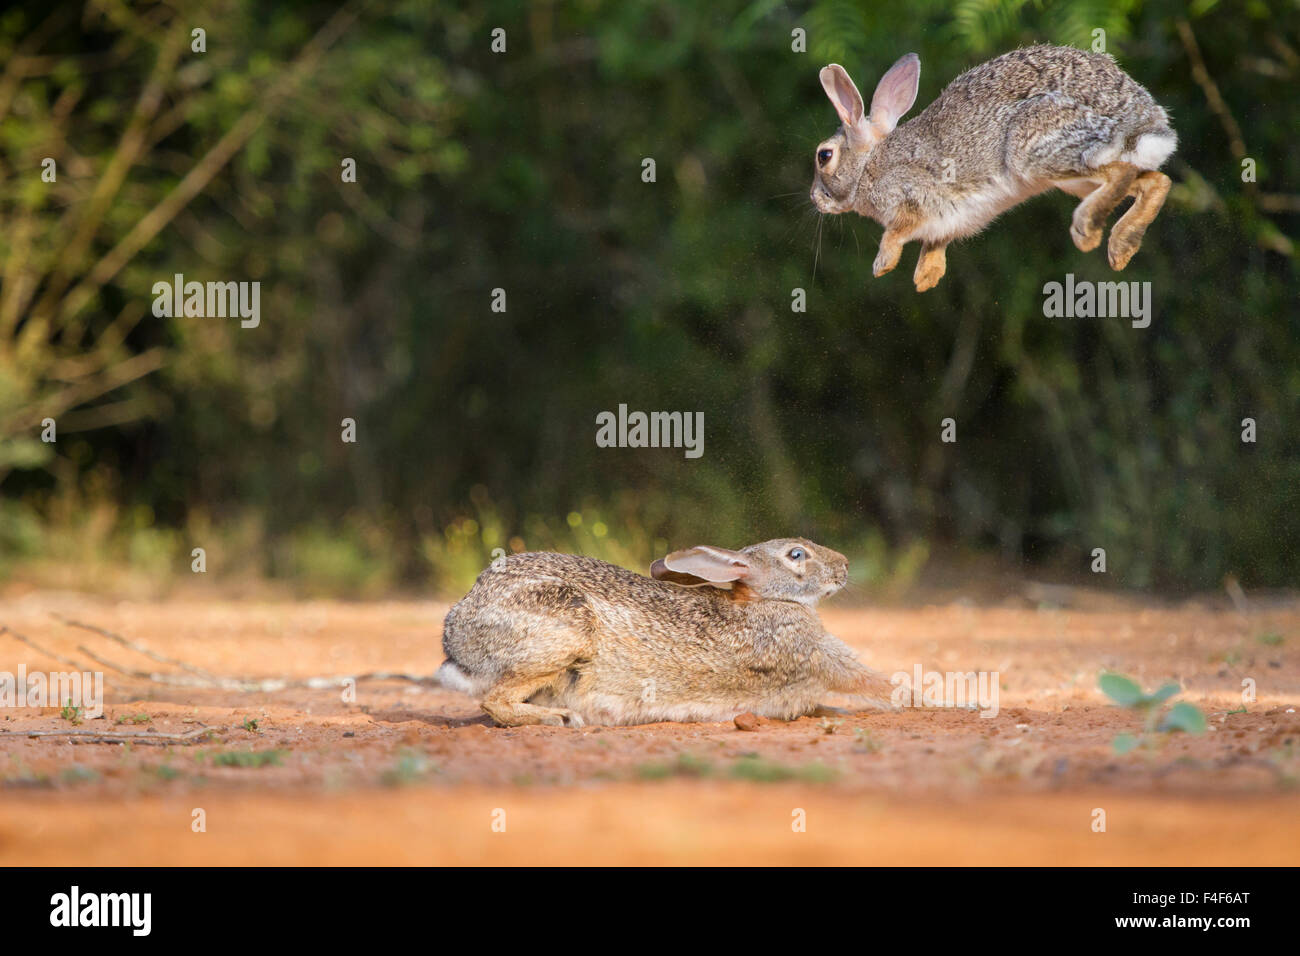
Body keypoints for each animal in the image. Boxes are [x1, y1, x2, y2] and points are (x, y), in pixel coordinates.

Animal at [436, 538, 893, 727]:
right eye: (797, 555)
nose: (845, 566)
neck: (763, 600)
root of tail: (457, 636)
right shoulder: (817, 655)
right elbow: (874, 682)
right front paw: (913, 695)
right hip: (565, 631)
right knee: (496, 702)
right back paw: (560, 718)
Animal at [810, 44, 1176, 291]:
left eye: (823, 156)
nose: (815, 198)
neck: (867, 167)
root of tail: (1143, 122)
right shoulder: (945, 220)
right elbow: (934, 242)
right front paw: (927, 277)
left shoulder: (910, 194)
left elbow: (897, 231)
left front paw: (882, 265)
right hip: (1074, 176)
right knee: (1156, 181)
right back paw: (1122, 247)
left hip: (1037, 150)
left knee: (1120, 174)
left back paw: (1086, 231)